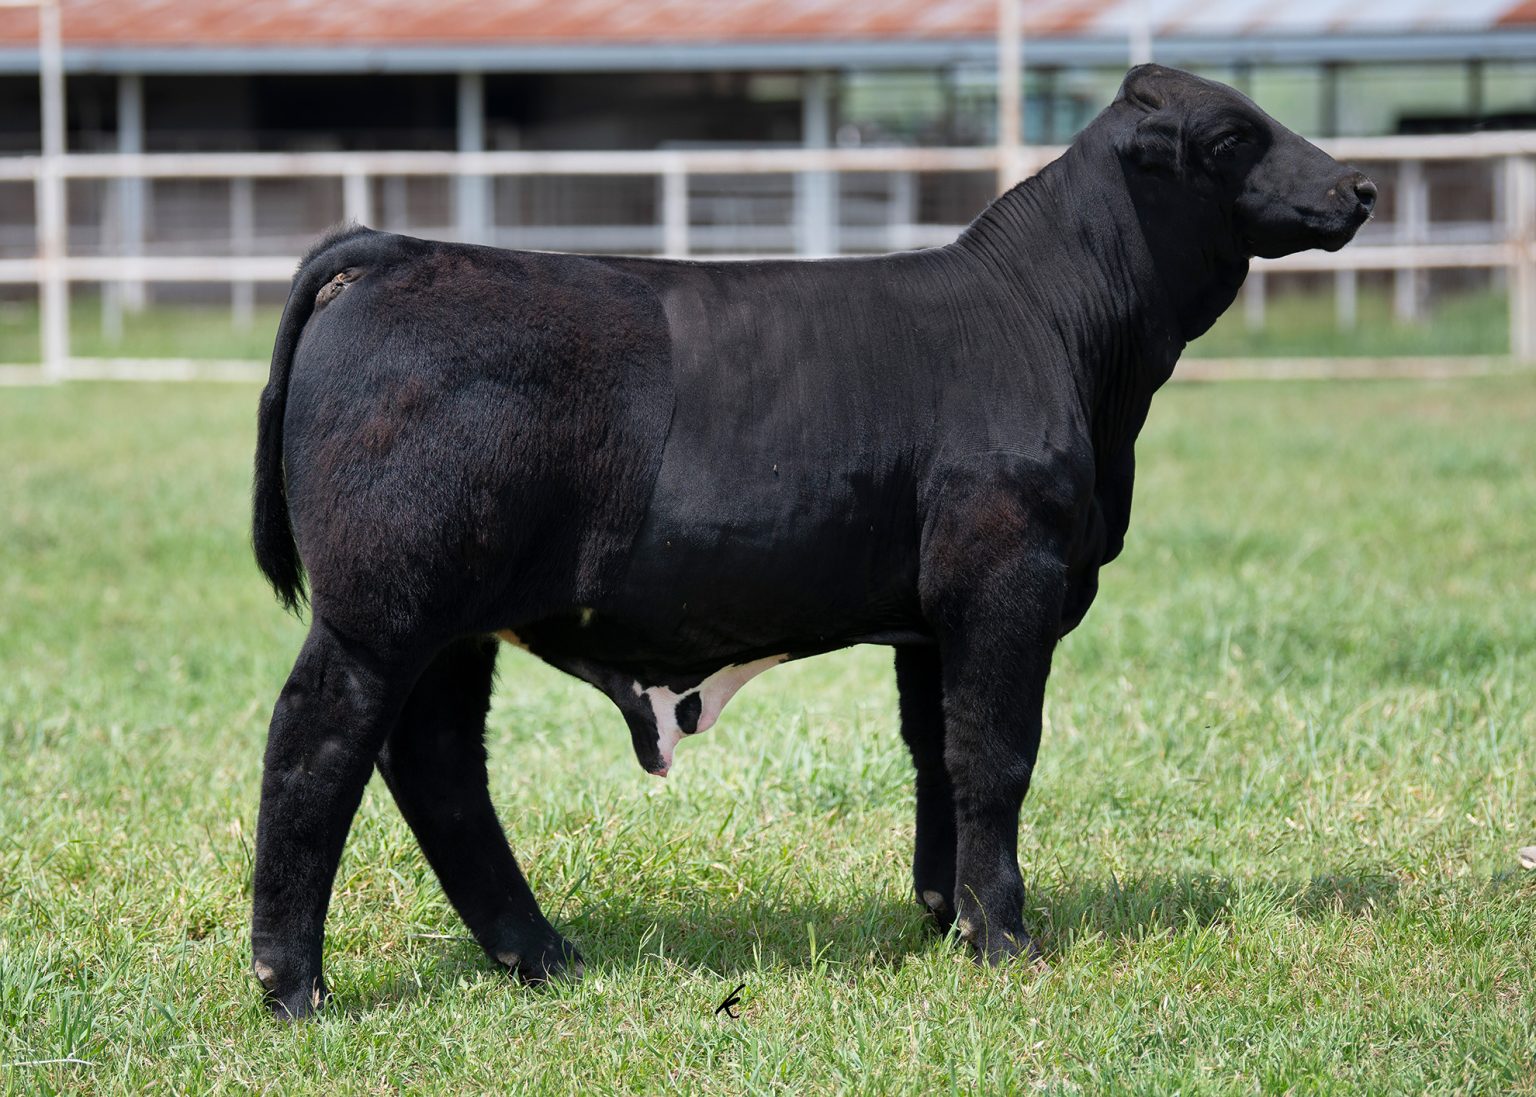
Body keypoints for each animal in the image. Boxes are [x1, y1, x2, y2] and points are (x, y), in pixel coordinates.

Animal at [249, 65, 1374, 1018]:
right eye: (1233, 135)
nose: (1358, 185)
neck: (1057, 331)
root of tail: (399, 250)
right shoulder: (1008, 577)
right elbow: (996, 752)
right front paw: (1004, 936)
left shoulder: (932, 618)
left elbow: (937, 750)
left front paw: (945, 913)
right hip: (382, 610)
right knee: (319, 742)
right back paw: (294, 981)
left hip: (454, 624)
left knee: (437, 762)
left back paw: (542, 954)